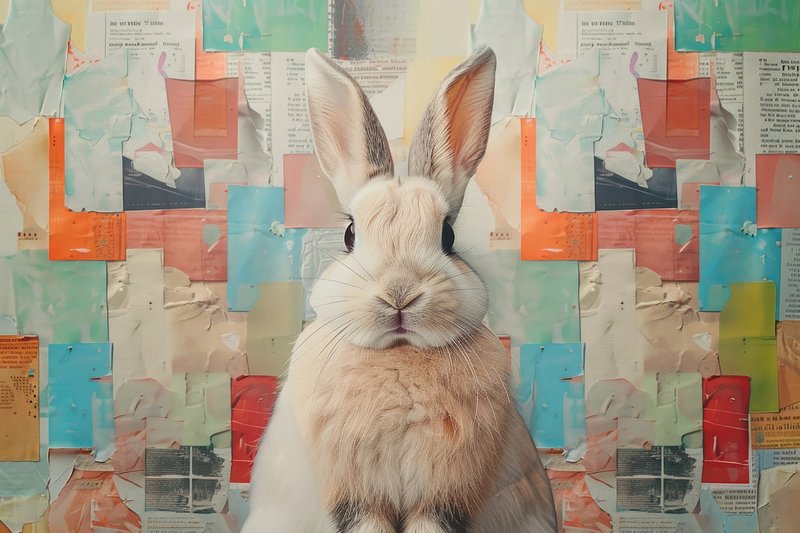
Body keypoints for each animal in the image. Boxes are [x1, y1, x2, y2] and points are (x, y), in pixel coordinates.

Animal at [242, 46, 558, 533]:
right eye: (350, 234)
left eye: (448, 236)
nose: (399, 295)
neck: (399, 354)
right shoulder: (356, 496)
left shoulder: (444, 496)